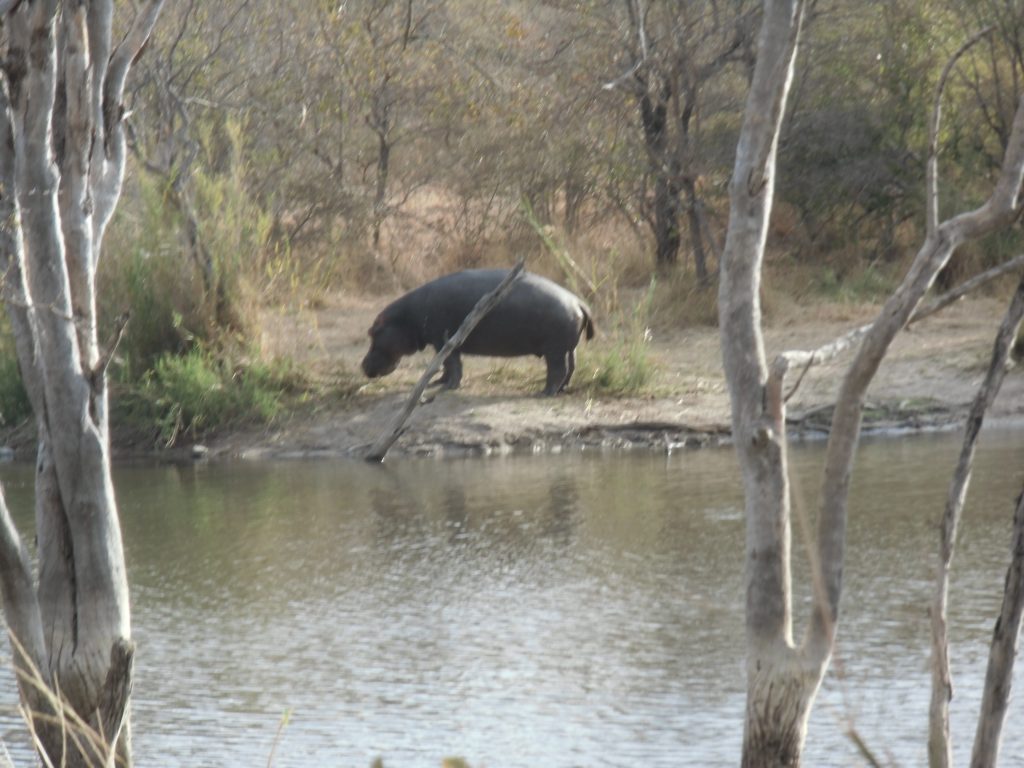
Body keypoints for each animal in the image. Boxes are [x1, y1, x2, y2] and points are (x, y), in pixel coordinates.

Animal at [361, 269, 595, 396]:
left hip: (554, 350)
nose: (363, 365)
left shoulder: (444, 341)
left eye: (372, 331)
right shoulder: (443, 343)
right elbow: (446, 365)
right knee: (571, 367)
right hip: (567, 348)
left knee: (558, 370)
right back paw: (561, 389)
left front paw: (448, 387)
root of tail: (578, 301)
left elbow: (452, 365)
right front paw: (439, 382)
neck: (406, 317)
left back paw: (544, 393)